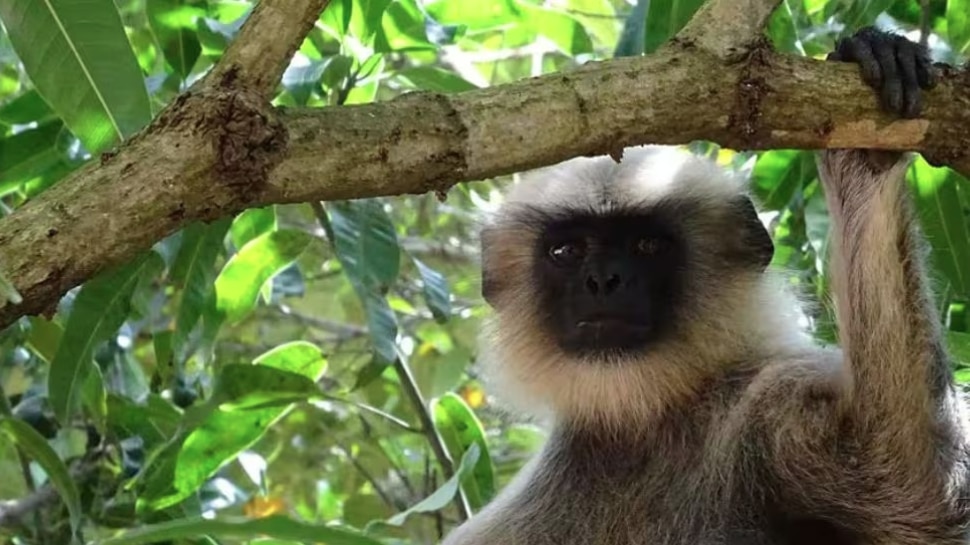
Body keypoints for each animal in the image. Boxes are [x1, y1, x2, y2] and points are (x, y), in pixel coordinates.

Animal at [442, 27, 970, 545]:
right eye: (566, 252)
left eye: (648, 245)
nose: (603, 280)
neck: (643, 427)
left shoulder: (765, 403)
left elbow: (915, 491)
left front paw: (866, 149)